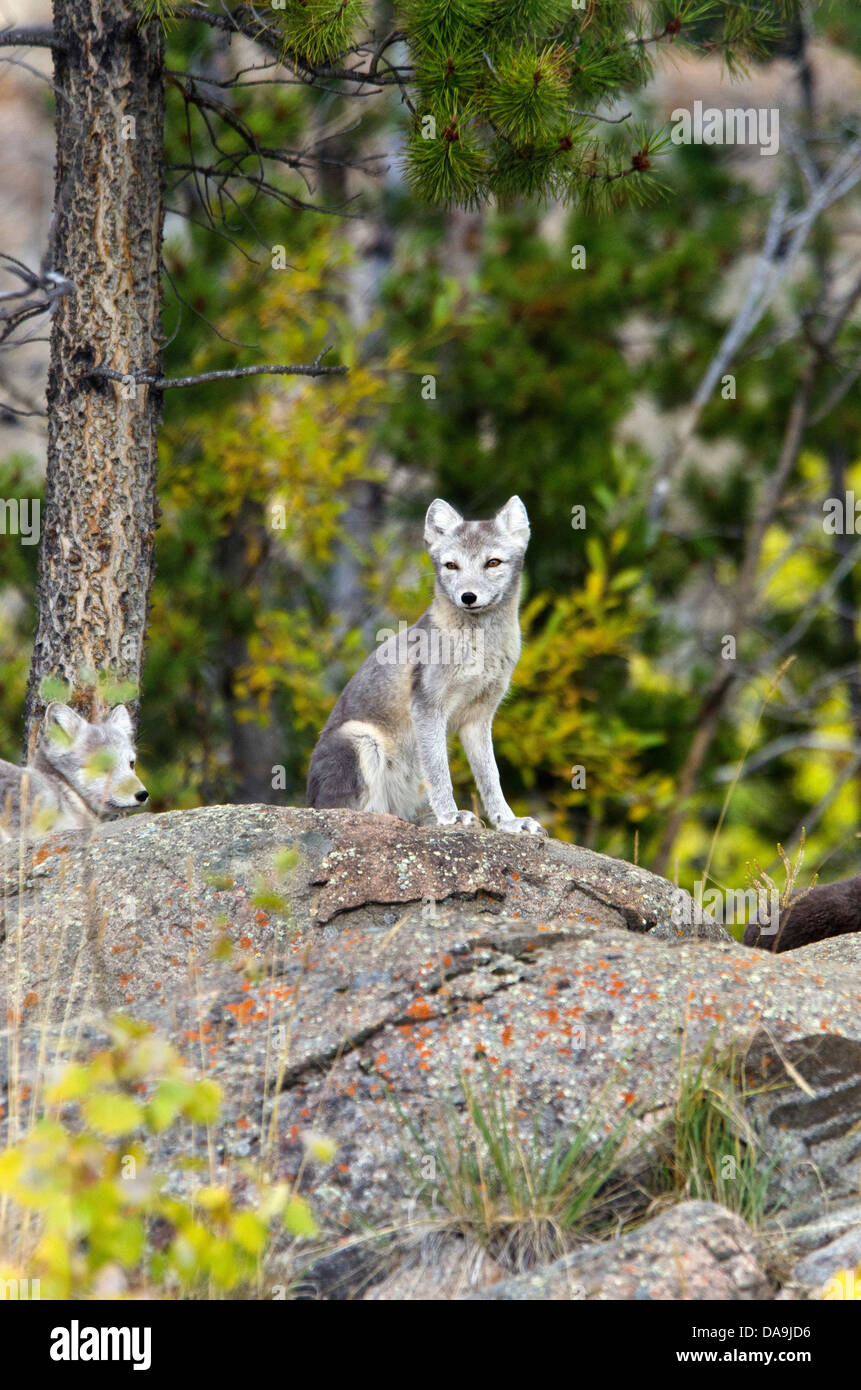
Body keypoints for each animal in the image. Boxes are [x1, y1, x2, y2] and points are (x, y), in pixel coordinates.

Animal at [307, 495, 546, 836]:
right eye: (451, 565)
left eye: (493, 563)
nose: (468, 596)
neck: (480, 648)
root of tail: (309, 801)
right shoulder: (427, 707)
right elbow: (440, 774)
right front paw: (451, 816)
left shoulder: (478, 717)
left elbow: (491, 778)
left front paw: (508, 821)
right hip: (362, 739)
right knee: (356, 811)